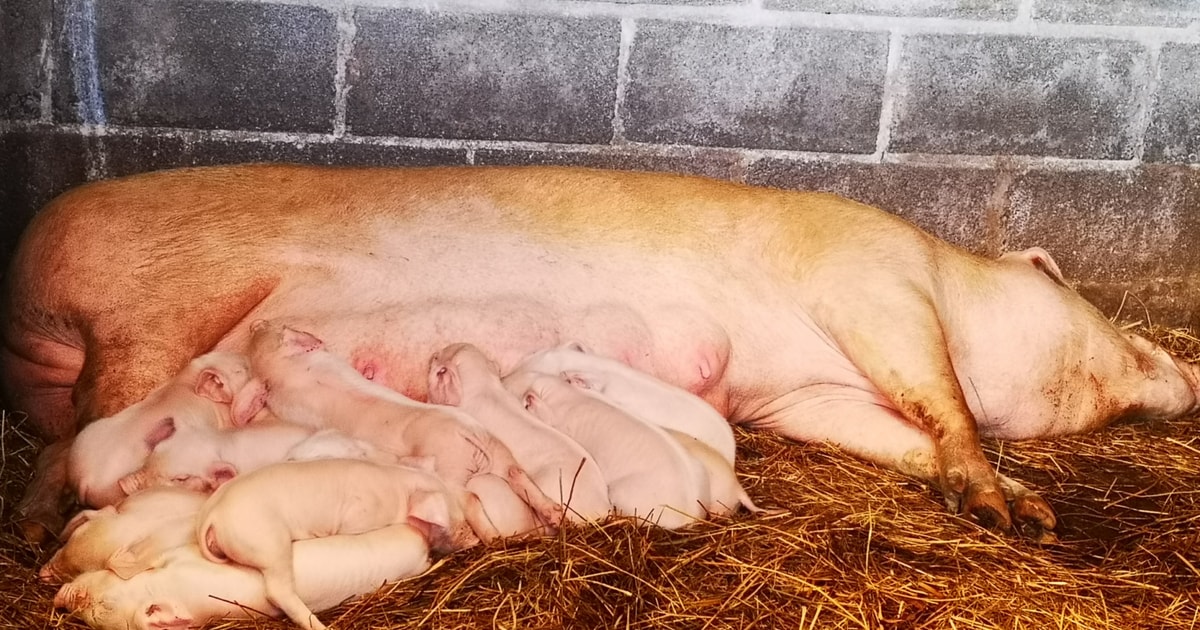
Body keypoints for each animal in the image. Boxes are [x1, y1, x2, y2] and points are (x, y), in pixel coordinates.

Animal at [195, 457, 479, 630]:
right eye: (450, 519)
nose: (475, 538)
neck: (398, 493)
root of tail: (214, 515)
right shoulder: (359, 518)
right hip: (268, 544)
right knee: (278, 591)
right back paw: (320, 625)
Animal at [232, 320, 566, 531]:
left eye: (277, 328)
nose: (255, 323)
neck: (289, 372)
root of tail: (468, 434)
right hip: (499, 451)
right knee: (517, 474)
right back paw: (554, 514)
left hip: (450, 469)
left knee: (470, 499)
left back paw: (492, 538)